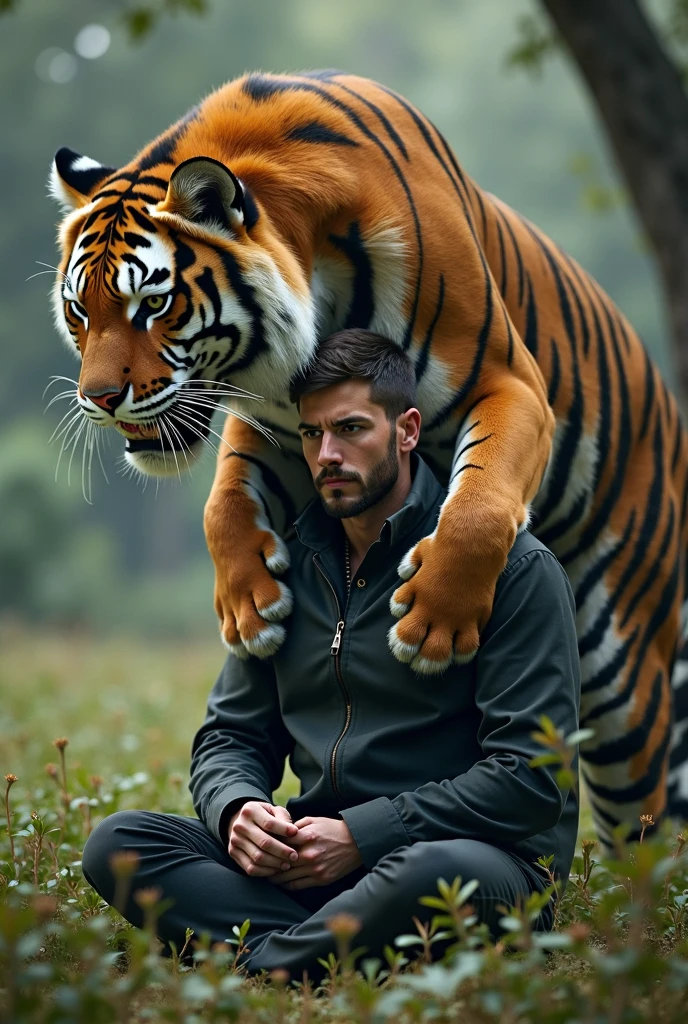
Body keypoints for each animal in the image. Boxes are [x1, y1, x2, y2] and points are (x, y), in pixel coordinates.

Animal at [48, 69, 688, 849]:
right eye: (80, 310)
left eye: (152, 303)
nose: (98, 398)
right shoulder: (278, 423)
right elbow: (224, 502)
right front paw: (251, 608)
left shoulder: (508, 381)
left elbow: (477, 506)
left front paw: (433, 626)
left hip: (629, 675)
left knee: (648, 834)